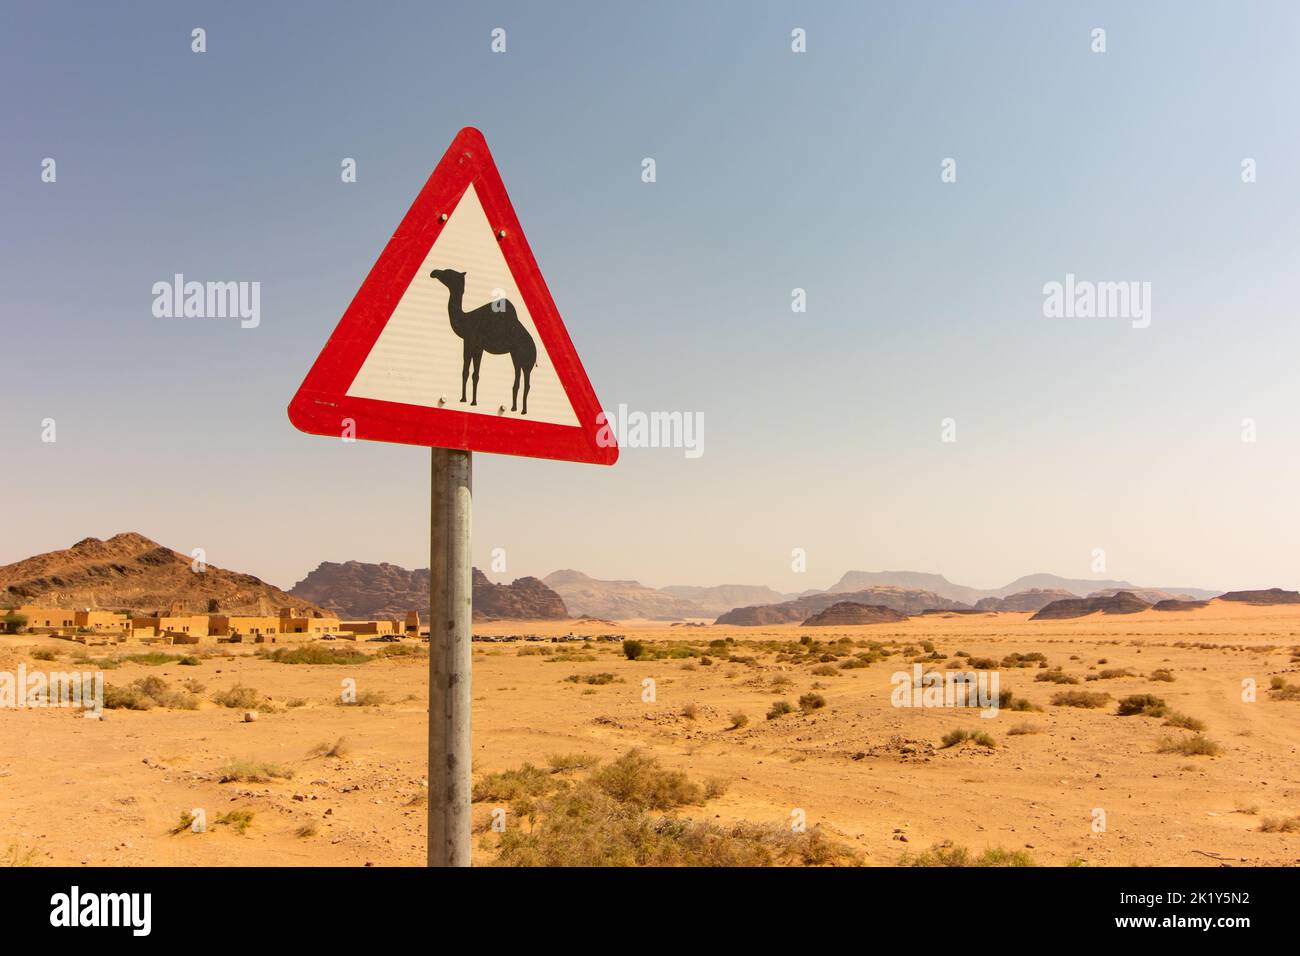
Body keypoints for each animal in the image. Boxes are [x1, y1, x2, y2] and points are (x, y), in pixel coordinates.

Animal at [429, 268, 537, 415]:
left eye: (448, 273)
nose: (434, 272)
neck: (465, 320)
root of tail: (534, 348)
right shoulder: (468, 343)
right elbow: (465, 372)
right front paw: (463, 399)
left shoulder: (477, 345)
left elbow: (475, 375)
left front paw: (473, 402)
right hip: (516, 357)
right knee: (518, 380)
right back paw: (515, 408)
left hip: (526, 362)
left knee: (527, 384)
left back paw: (523, 411)